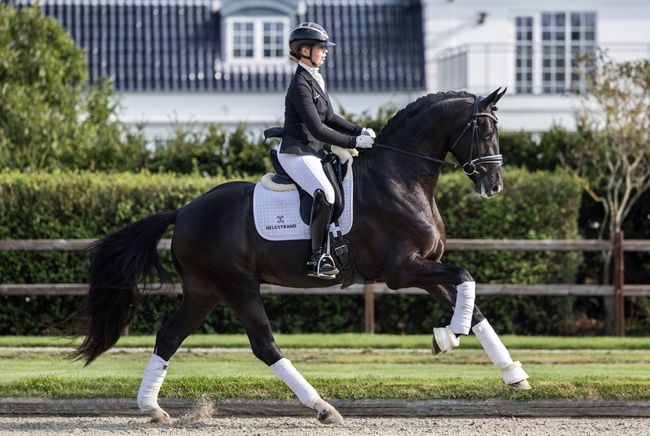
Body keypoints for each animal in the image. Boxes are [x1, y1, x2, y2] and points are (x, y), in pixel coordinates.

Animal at [69, 87, 530, 425]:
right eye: (483, 130)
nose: (494, 185)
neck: (400, 179)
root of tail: (183, 212)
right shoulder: (403, 271)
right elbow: (466, 276)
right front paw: (447, 336)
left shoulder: (424, 266)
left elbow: (472, 304)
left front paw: (512, 374)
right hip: (237, 286)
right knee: (264, 344)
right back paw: (322, 407)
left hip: (205, 290)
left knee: (169, 336)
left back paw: (152, 408)